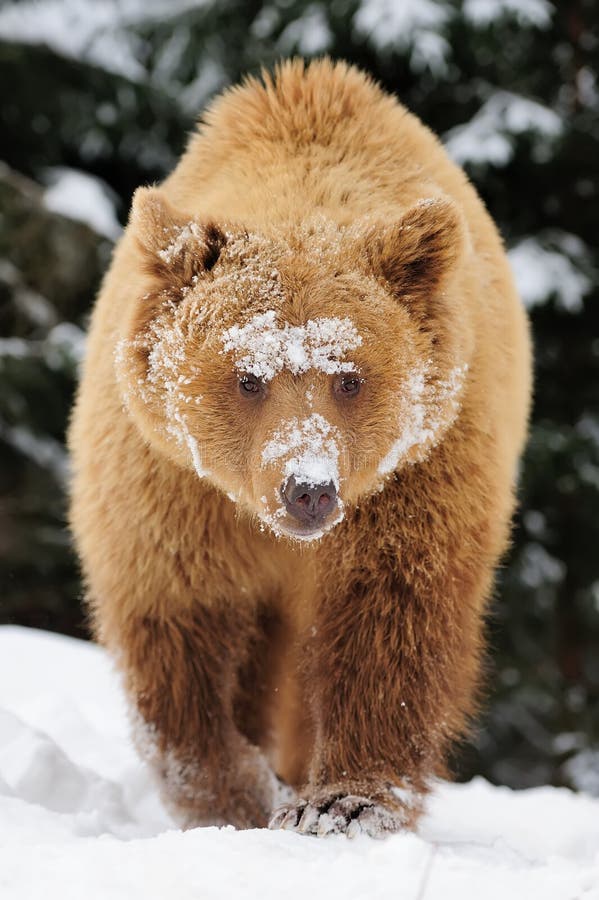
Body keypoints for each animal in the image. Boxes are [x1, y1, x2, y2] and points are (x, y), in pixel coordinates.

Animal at [68, 58, 532, 838]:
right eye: (248, 377)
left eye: (349, 377)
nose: (307, 488)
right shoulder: (169, 487)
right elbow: (178, 632)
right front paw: (233, 797)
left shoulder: (420, 473)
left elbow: (389, 623)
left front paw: (342, 800)